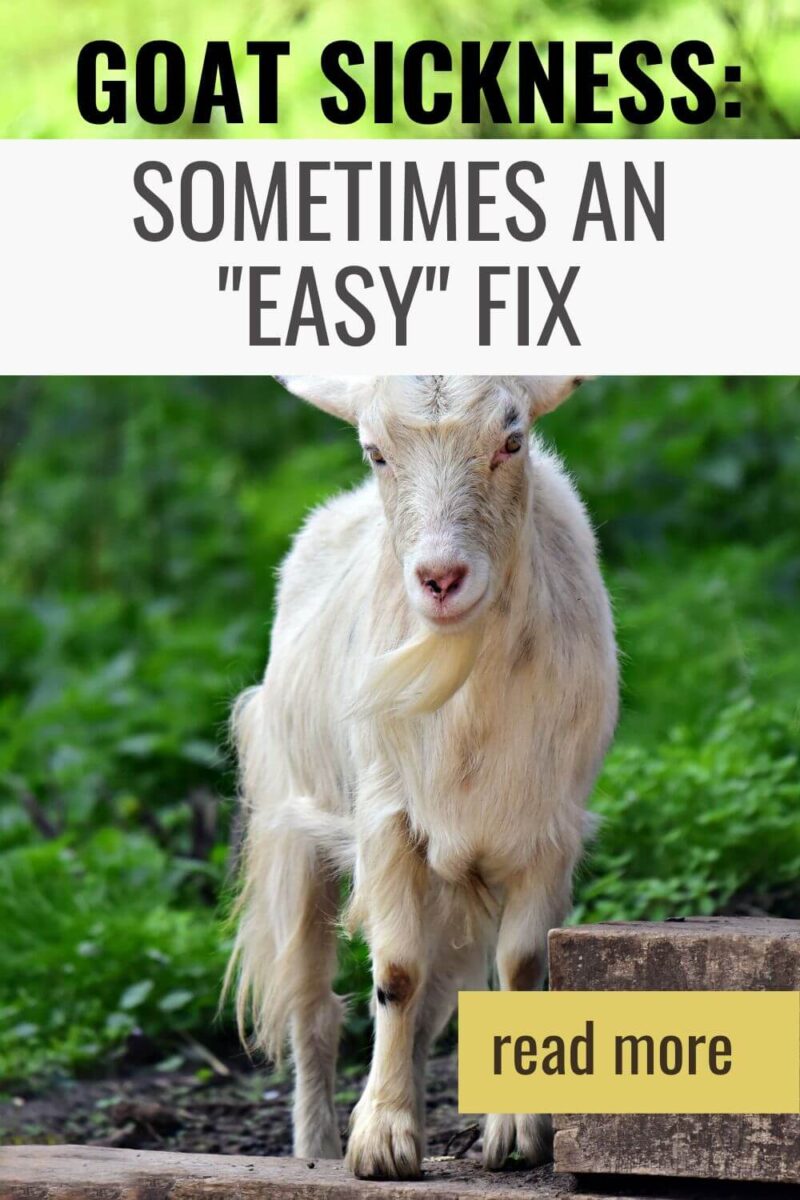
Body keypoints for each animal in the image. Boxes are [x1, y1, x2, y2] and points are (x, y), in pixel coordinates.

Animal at [226, 376, 618, 1178]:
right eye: (376, 451)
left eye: (512, 439)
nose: (440, 579)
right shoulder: (386, 818)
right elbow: (396, 975)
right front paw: (380, 1141)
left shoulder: (549, 829)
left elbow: (522, 965)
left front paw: (517, 1135)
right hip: (297, 825)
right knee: (314, 1007)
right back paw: (316, 1146)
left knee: (435, 999)